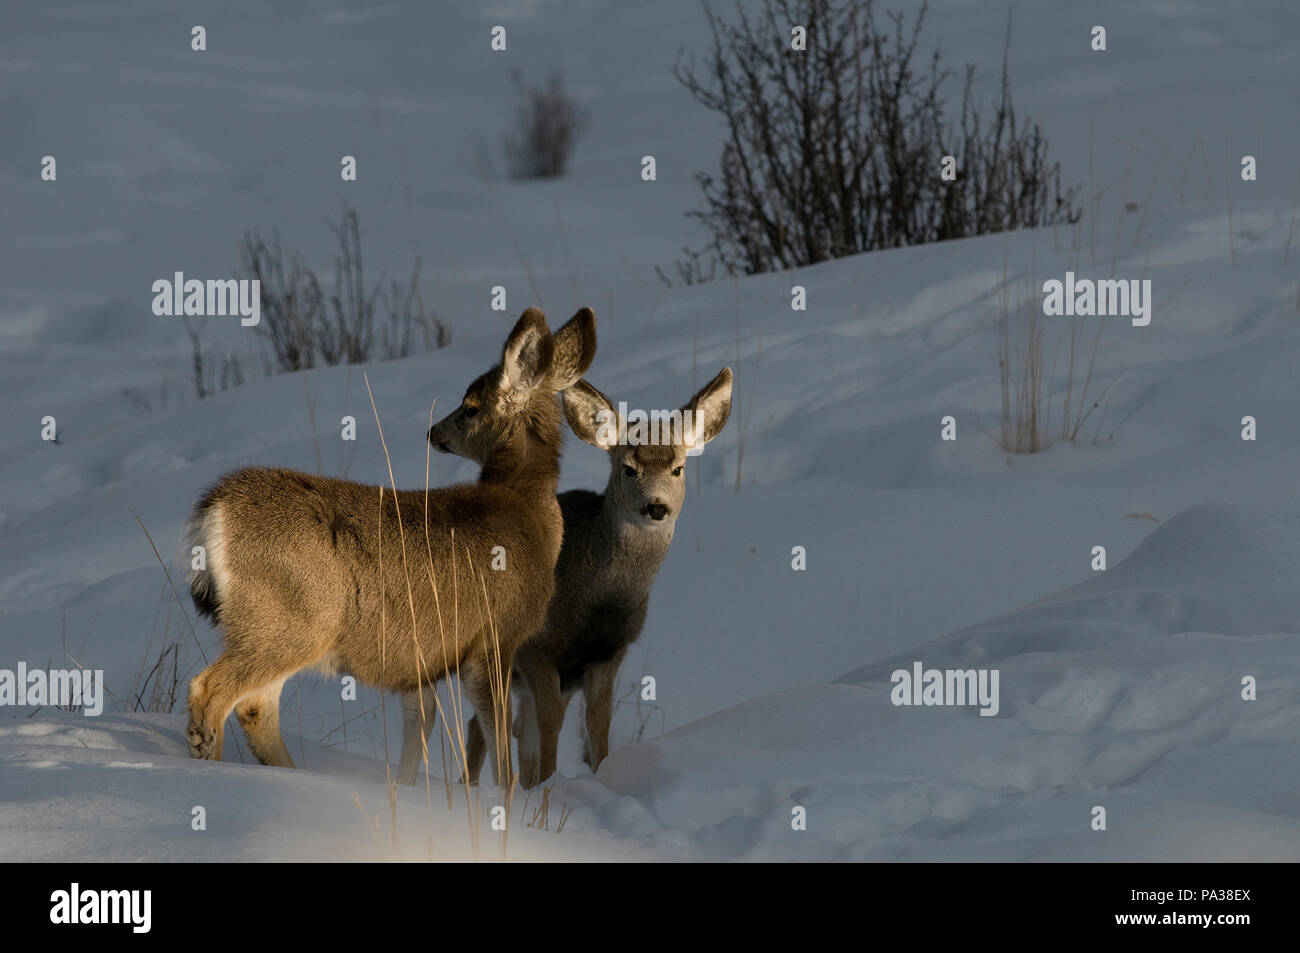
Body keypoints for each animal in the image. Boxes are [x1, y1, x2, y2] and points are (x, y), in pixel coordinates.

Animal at [185, 306, 597, 788]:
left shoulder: (419, 656)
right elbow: (496, 737)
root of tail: (215, 509)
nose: (434, 431)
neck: (526, 508)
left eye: (470, 406)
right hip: (291, 618)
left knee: (255, 706)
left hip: (271, 624)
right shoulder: (494, 636)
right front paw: (504, 797)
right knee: (212, 690)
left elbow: (423, 719)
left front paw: (404, 788)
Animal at [397, 366, 732, 788]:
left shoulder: (609, 653)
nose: (656, 507)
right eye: (628, 468)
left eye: (678, 468)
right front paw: (548, 787)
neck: (599, 601)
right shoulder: (536, 648)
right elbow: (550, 722)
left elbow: (598, 722)